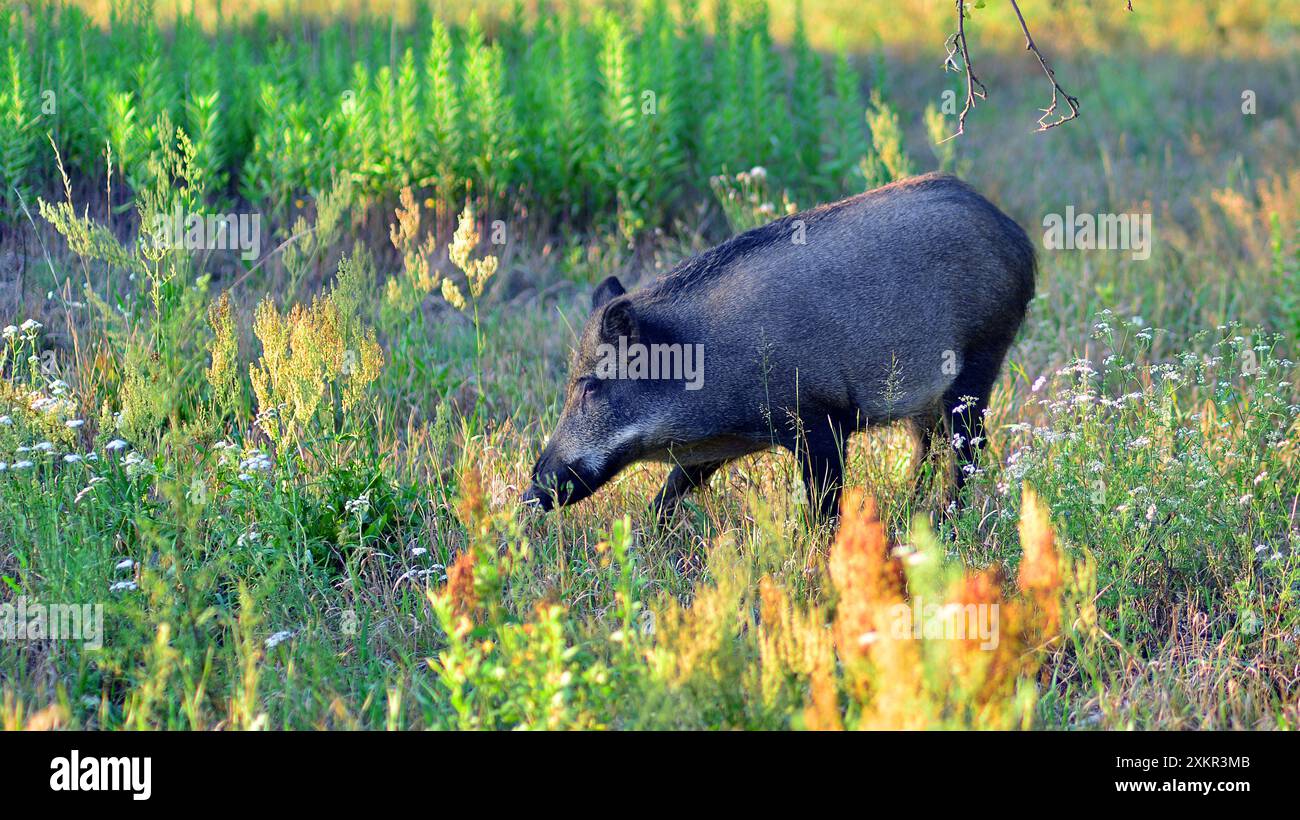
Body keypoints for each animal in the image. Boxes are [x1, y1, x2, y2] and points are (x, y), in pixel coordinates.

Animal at [522, 172, 1035, 522]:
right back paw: (912, 511)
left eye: (591, 385)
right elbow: (673, 485)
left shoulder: (821, 421)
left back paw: (945, 518)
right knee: (927, 448)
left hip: (980, 359)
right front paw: (648, 533)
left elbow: (823, 502)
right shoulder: (717, 446)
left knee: (967, 449)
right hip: (924, 397)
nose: (529, 494)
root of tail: (1017, 238)